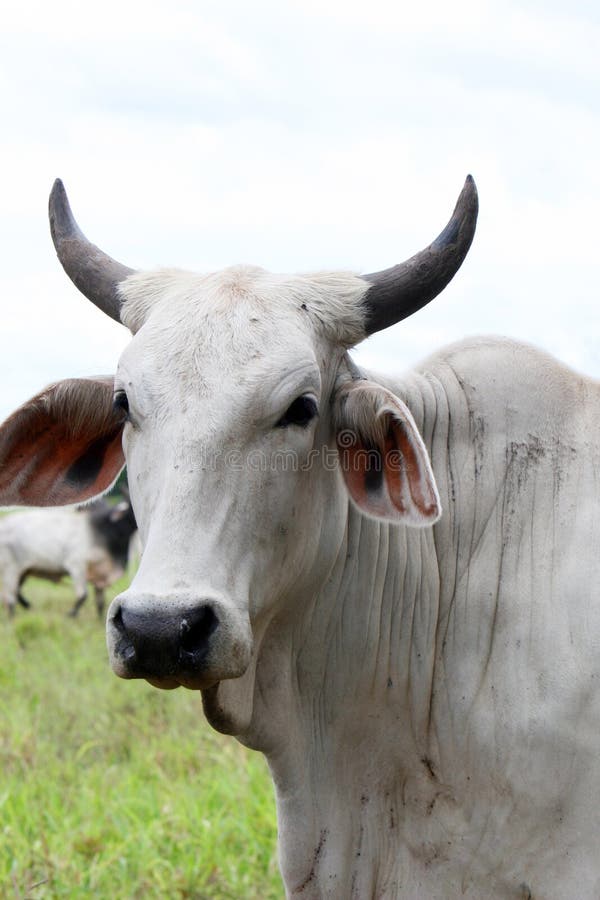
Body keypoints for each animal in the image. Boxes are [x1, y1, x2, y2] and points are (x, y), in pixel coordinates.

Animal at [0, 497, 137, 617]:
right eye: (130, 510)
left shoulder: (99, 574)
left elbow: (100, 602)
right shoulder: (77, 566)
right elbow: (82, 595)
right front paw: (71, 615)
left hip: (23, 571)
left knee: (15, 592)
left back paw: (26, 606)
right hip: (10, 569)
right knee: (10, 598)